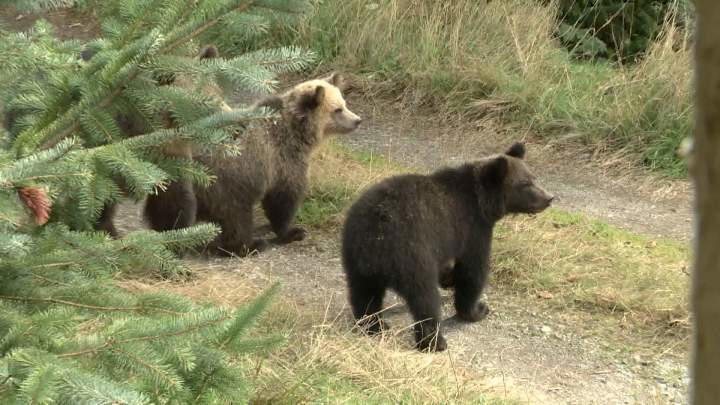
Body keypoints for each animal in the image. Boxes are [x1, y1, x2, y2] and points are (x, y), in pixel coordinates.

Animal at [164, 72, 361, 256]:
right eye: (337, 109)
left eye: (344, 103)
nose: (357, 120)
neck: (297, 133)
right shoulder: (282, 160)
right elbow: (284, 199)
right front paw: (292, 231)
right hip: (225, 181)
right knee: (235, 217)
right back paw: (250, 245)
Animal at [341, 142, 553, 352]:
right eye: (525, 183)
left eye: (534, 177)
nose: (549, 198)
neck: (482, 203)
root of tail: (376, 235)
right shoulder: (472, 229)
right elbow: (473, 271)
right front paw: (478, 309)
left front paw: (448, 278)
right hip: (412, 254)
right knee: (424, 299)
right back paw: (434, 342)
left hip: (356, 260)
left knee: (364, 295)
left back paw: (374, 326)